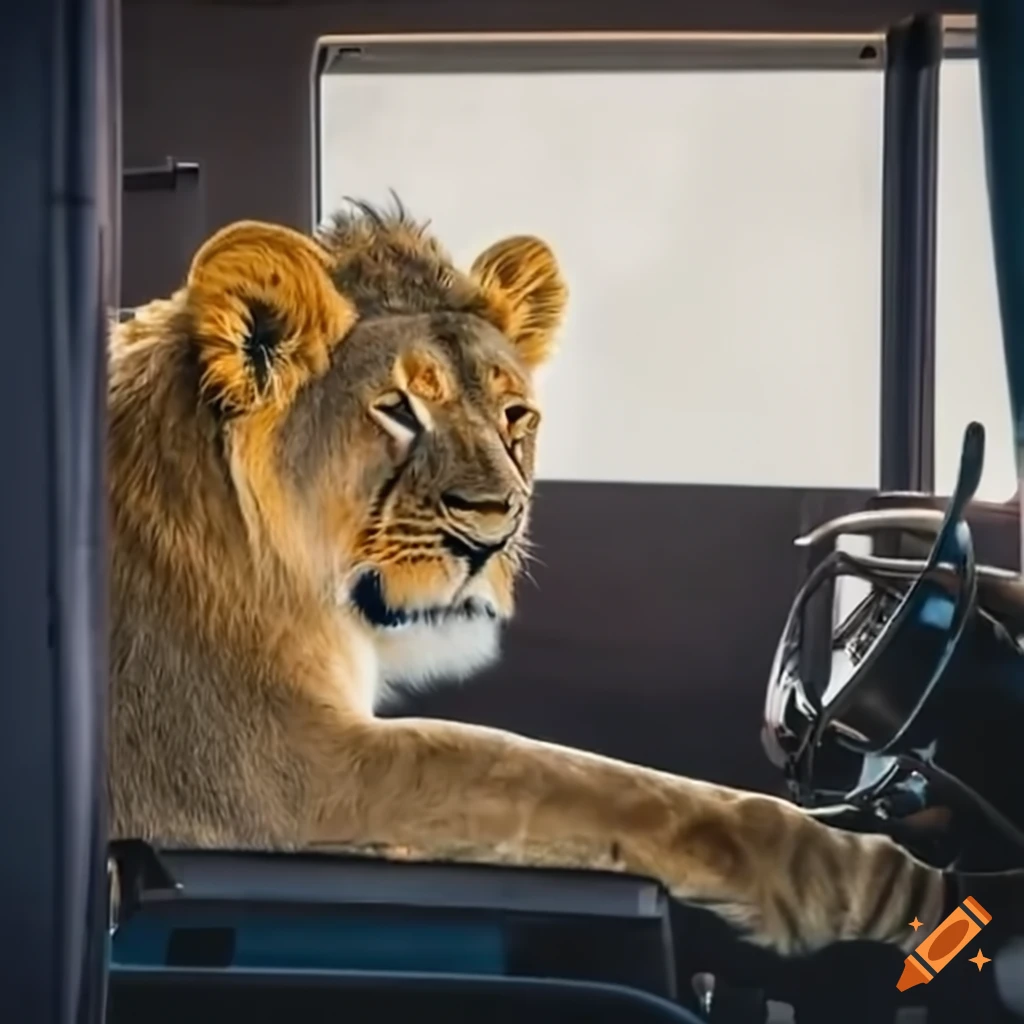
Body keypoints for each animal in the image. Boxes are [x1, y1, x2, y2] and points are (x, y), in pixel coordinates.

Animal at [108, 199, 956, 957]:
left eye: (514, 415)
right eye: (397, 410)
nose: (496, 525)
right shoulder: (274, 775)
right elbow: (561, 777)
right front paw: (886, 886)